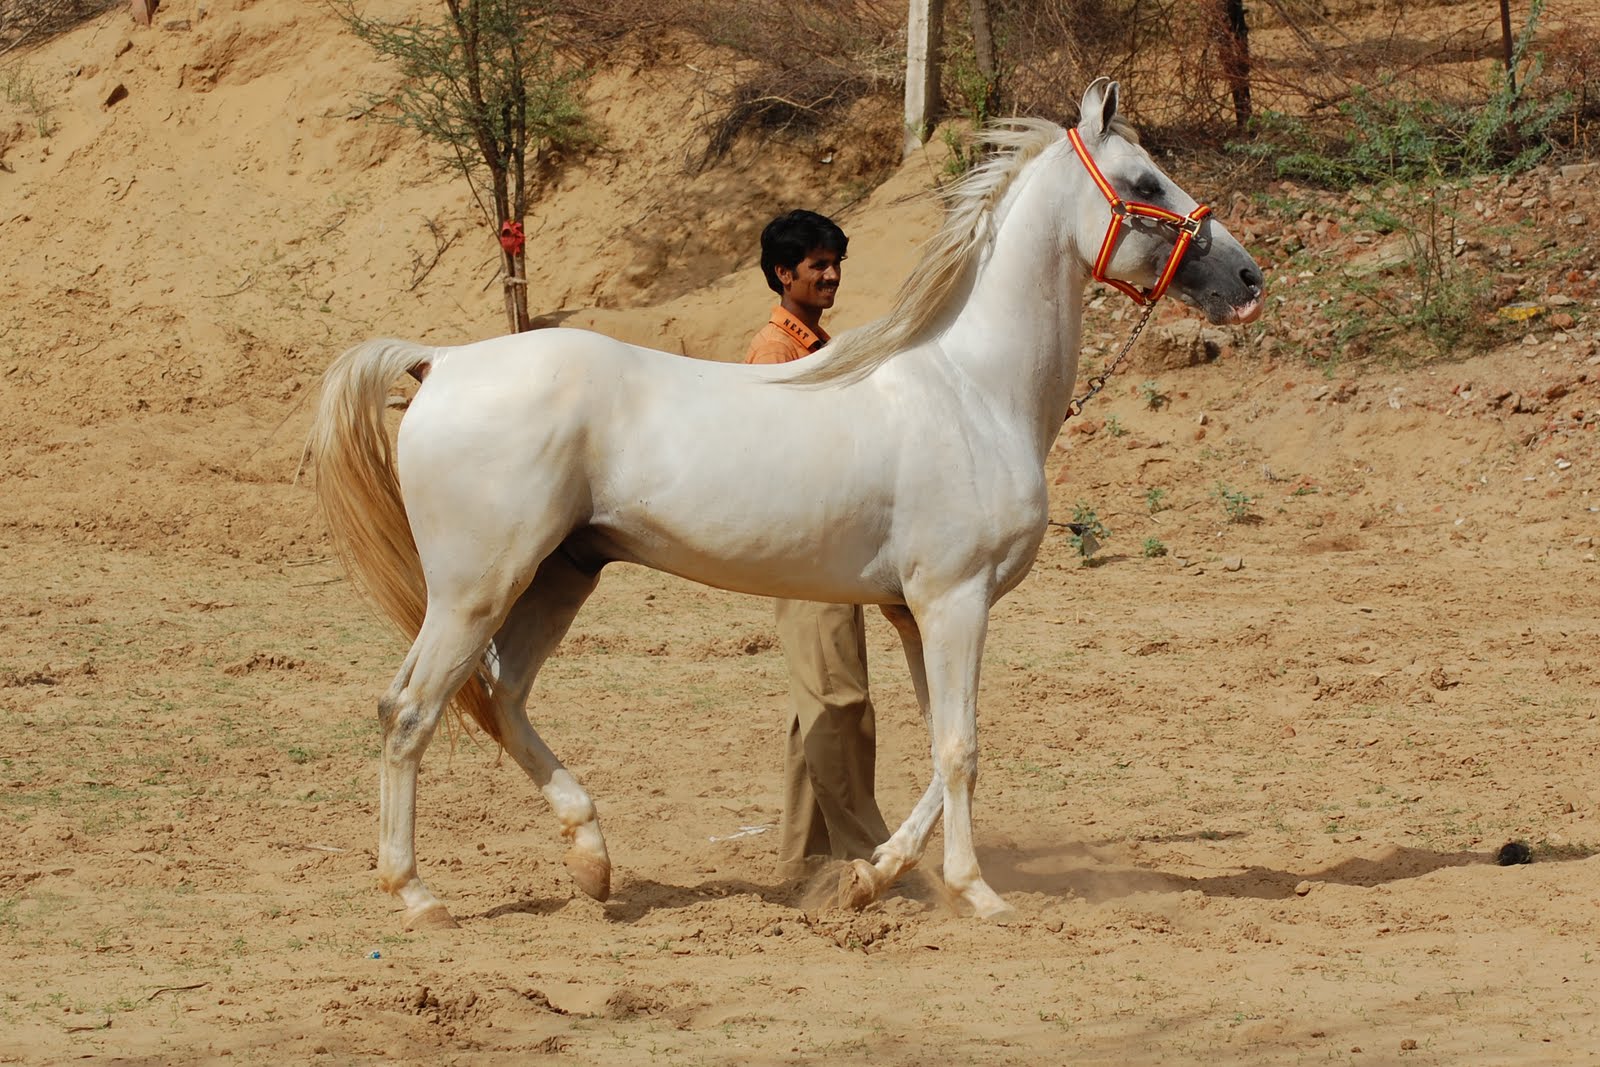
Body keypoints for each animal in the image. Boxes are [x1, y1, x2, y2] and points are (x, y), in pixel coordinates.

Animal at [310, 79, 1264, 930]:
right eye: (1146, 183)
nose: (1249, 278)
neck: (972, 388)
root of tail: (442, 361)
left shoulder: (915, 611)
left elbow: (942, 745)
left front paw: (875, 876)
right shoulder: (954, 600)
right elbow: (962, 749)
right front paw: (978, 894)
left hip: (559, 576)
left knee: (501, 696)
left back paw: (592, 860)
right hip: (477, 588)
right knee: (410, 709)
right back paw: (419, 895)